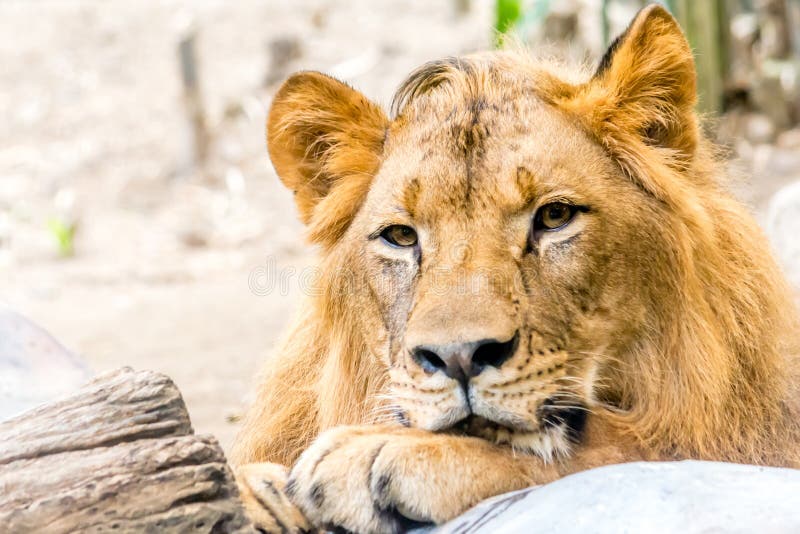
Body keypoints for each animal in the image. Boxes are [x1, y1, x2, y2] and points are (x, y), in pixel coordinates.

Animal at [231, 5, 800, 533]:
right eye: (401, 236)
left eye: (555, 216)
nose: (458, 358)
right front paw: (257, 491)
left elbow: (611, 443)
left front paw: (378, 451)